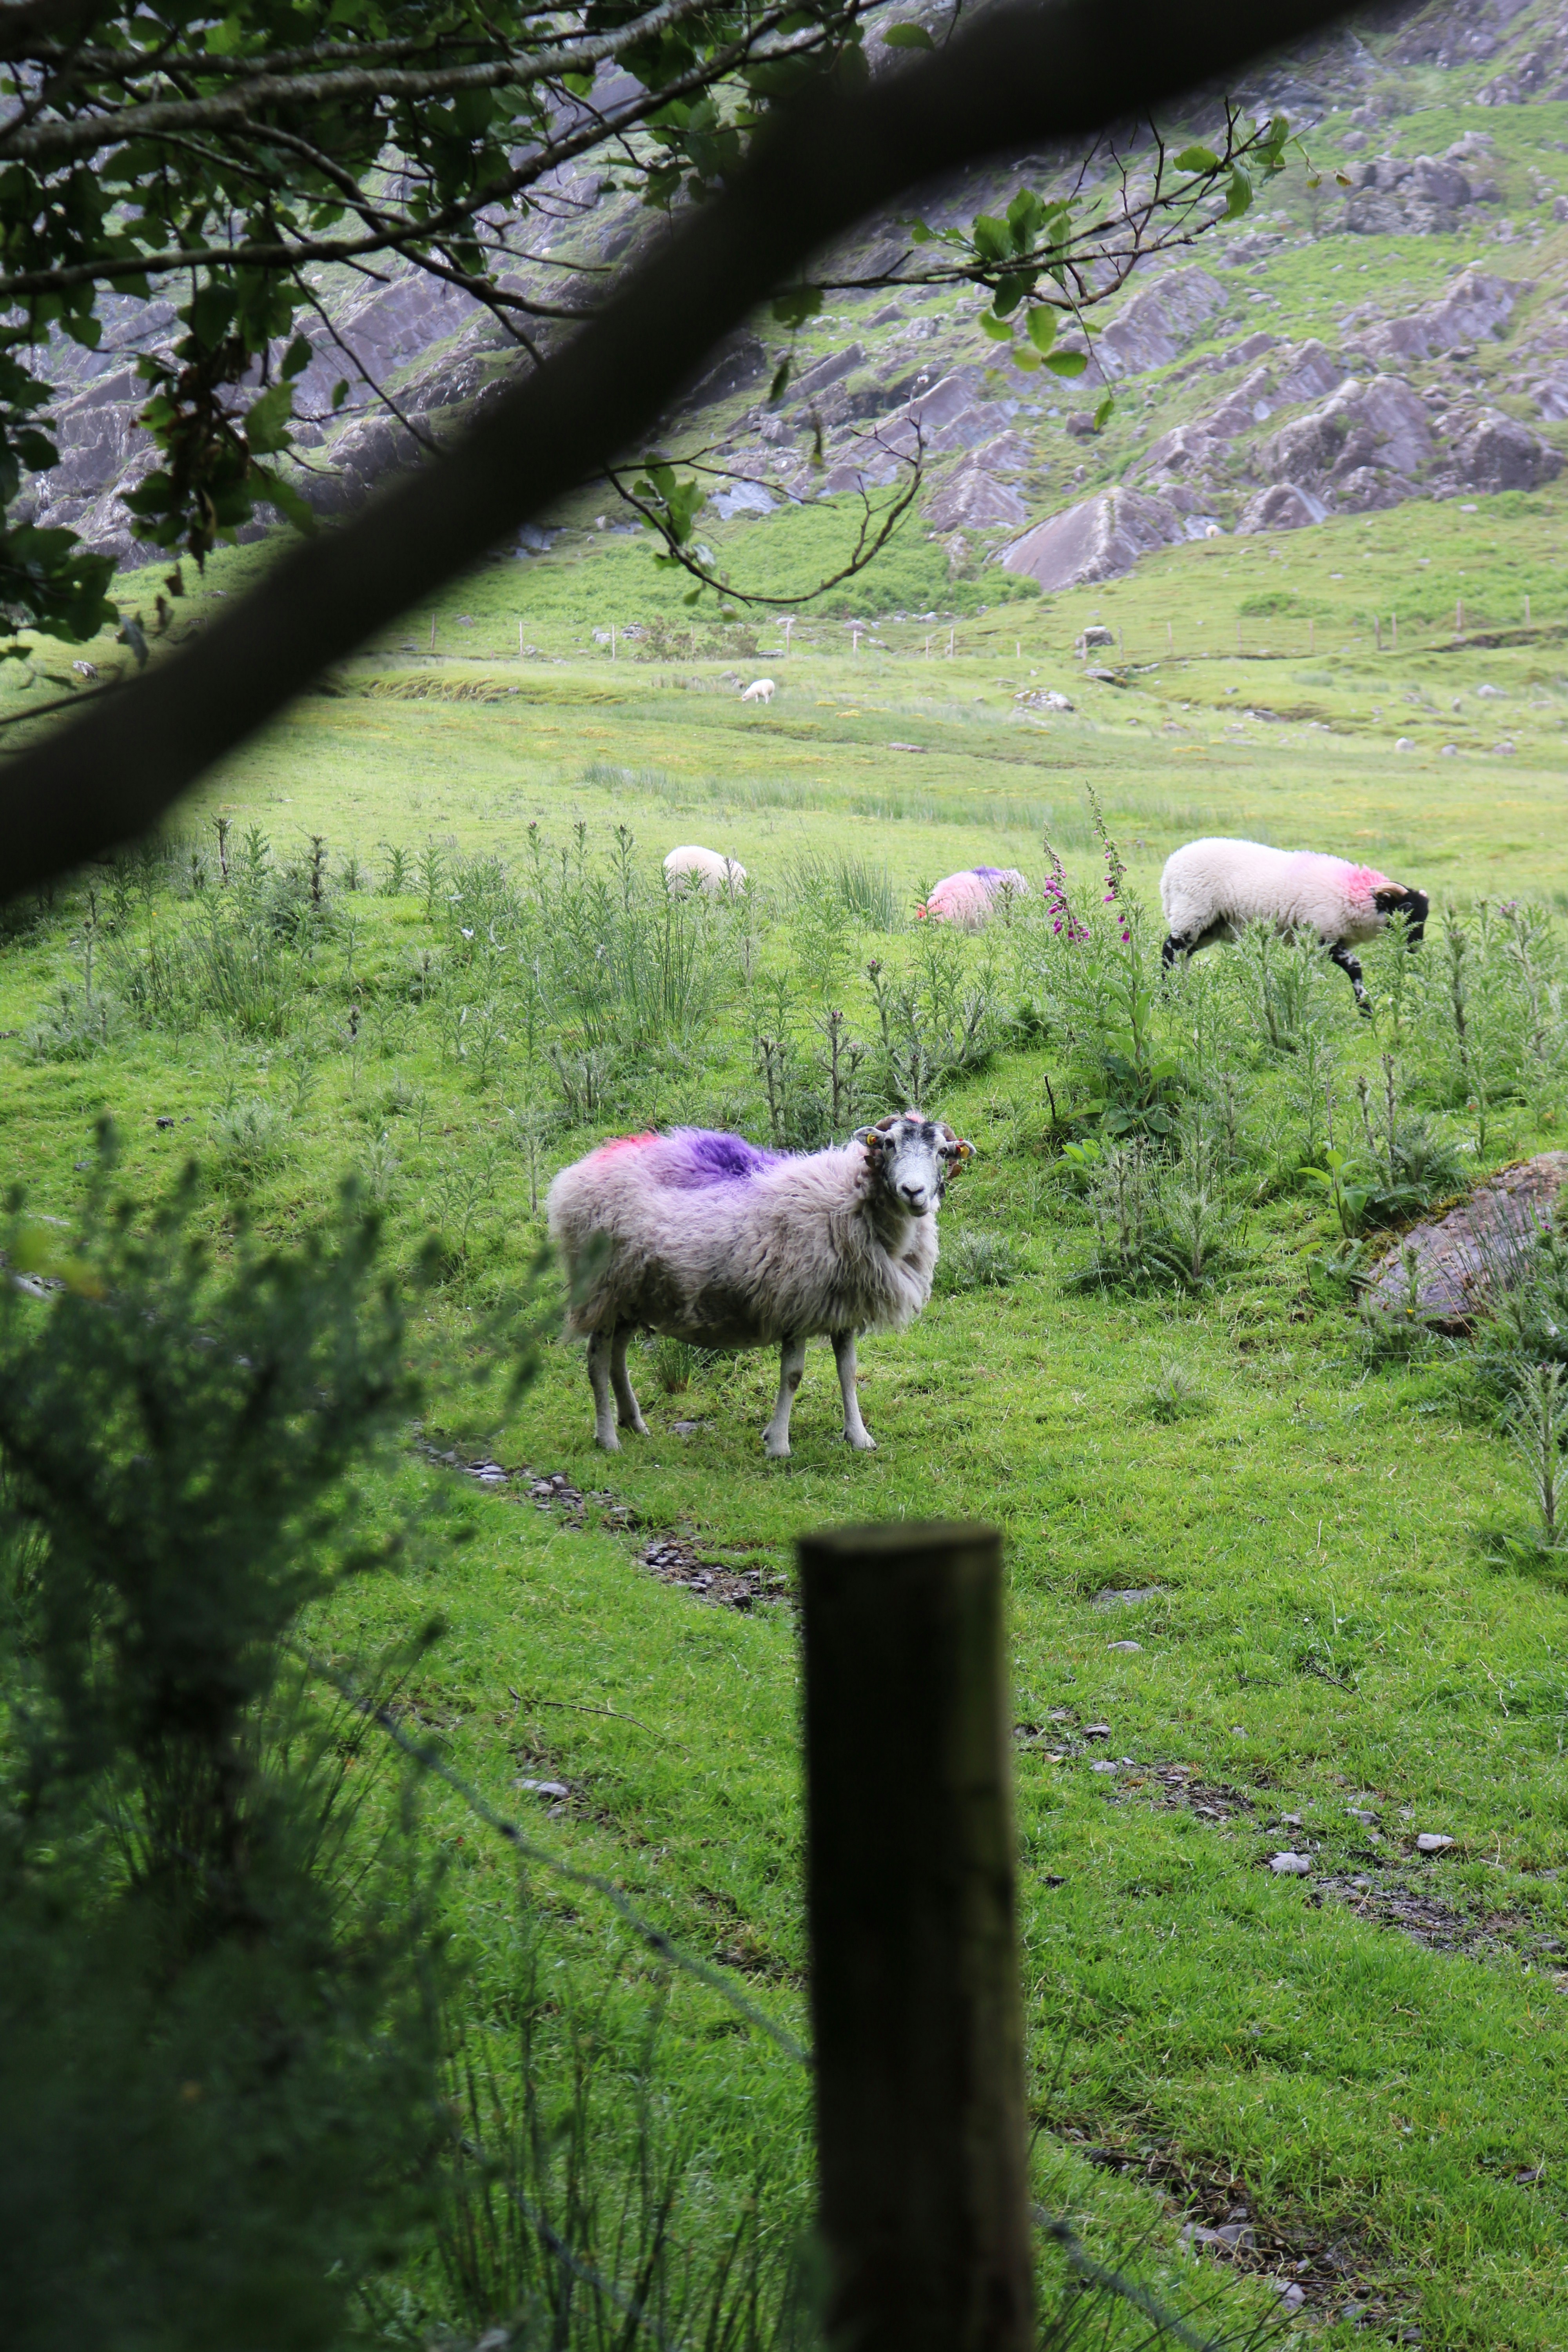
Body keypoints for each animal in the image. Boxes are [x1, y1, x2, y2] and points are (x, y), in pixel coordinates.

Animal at [547, 1112, 974, 1457]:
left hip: (632, 1294)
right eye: (888, 1144)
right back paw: (608, 1438)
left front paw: (859, 1437)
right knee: (597, 1360)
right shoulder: (797, 1303)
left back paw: (633, 1423)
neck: (849, 1200)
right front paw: (779, 1444)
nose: (914, 1193)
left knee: (617, 1357)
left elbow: (848, 1372)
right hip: (601, 1288)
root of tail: (577, 1174)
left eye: (942, 1152)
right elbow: (793, 1376)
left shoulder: (843, 1308)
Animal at [1159, 836, 1428, 1012]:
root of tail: (1169, 869)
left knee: (1184, 955)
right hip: (1192, 910)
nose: (1416, 947)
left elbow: (1311, 972)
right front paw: (1365, 1007)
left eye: (1425, 915)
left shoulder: (1319, 942)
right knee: (1170, 951)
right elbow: (1355, 967)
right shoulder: (1321, 935)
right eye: (1406, 910)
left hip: (1210, 925)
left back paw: (1183, 995)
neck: (1354, 896)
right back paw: (1169, 998)